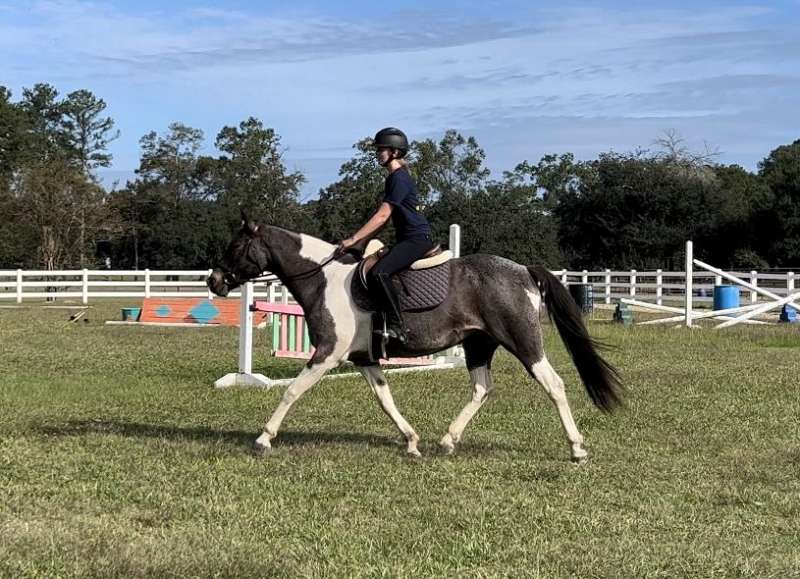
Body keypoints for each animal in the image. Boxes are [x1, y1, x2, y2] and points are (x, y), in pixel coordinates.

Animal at [207, 215, 623, 461]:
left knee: (554, 384)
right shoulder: (364, 358)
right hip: (478, 343)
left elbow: (292, 391)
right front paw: (411, 441)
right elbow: (385, 399)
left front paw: (263, 439)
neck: (324, 279)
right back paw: (448, 440)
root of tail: (523, 270)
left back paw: (577, 449)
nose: (214, 282)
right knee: (481, 388)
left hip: (523, 342)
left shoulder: (328, 353)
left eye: (235, 247)